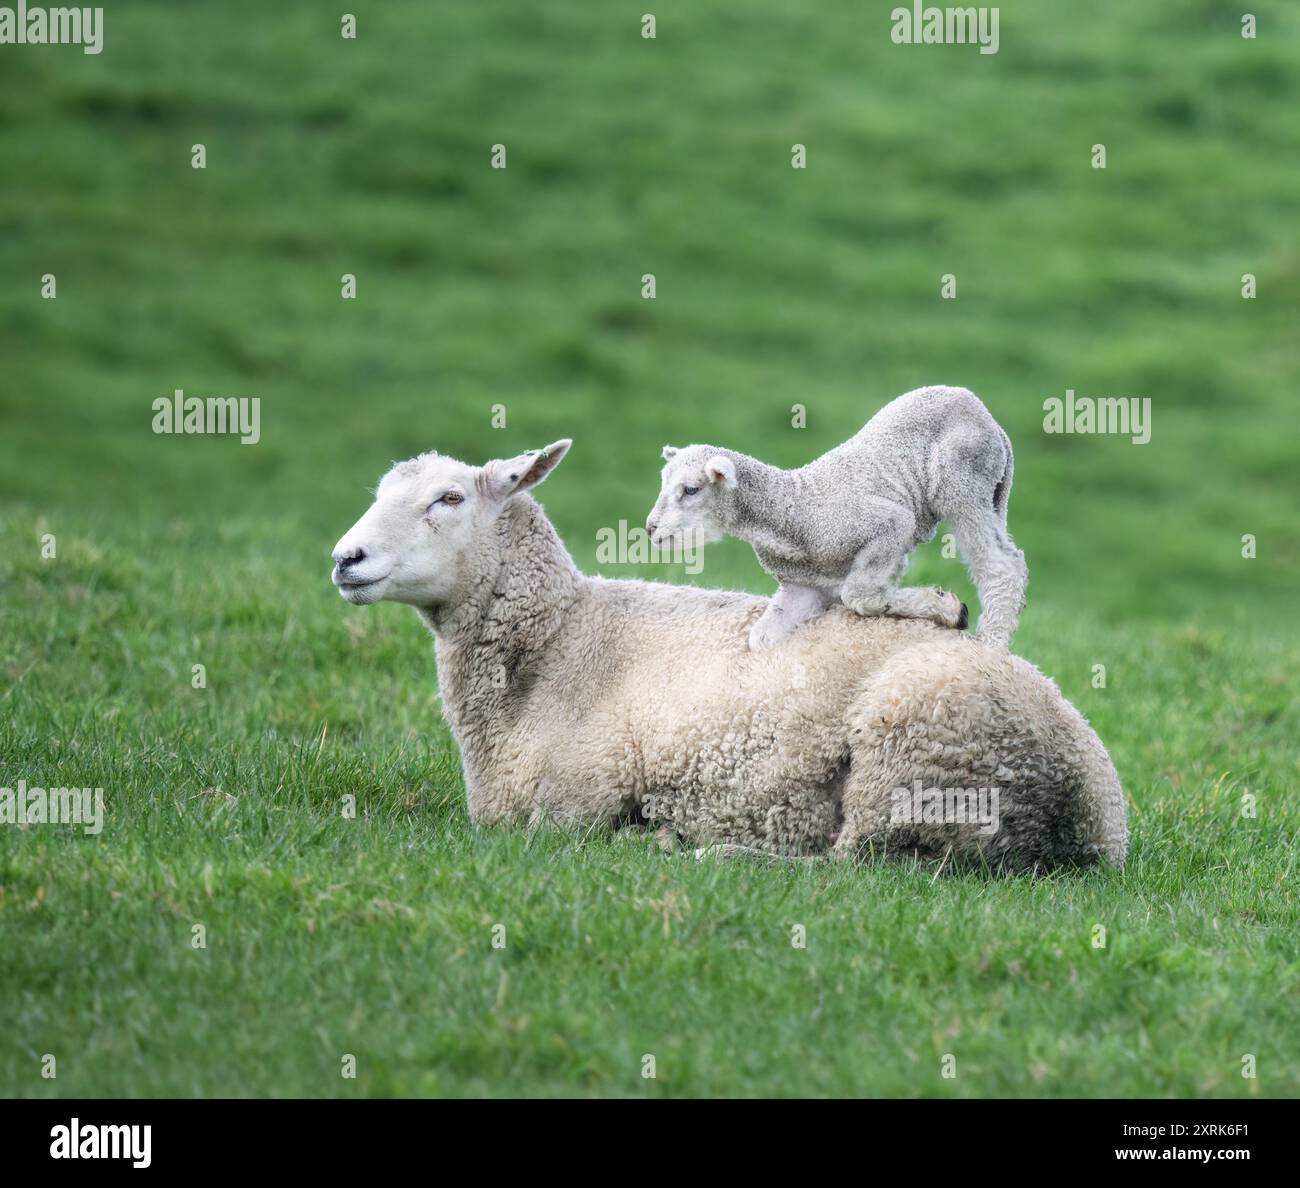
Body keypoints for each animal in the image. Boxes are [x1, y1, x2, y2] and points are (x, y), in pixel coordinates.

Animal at [330, 439, 1126, 871]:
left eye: (450, 498)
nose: (346, 558)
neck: (561, 639)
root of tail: (1088, 826)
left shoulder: (575, 804)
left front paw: (647, 834)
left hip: (910, 746)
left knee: (853, 866)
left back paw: (705, 850)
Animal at [646, 385, 1029, 652]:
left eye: (690, 490)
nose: (650, 529)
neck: (791, 509)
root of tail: (988, 417)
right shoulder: (804, 587)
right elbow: (762, 638)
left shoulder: (891, 523)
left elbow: (858, 596)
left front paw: (946, 607)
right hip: (990, 494)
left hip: (961, 482)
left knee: (1001, 564)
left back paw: (992, 645)